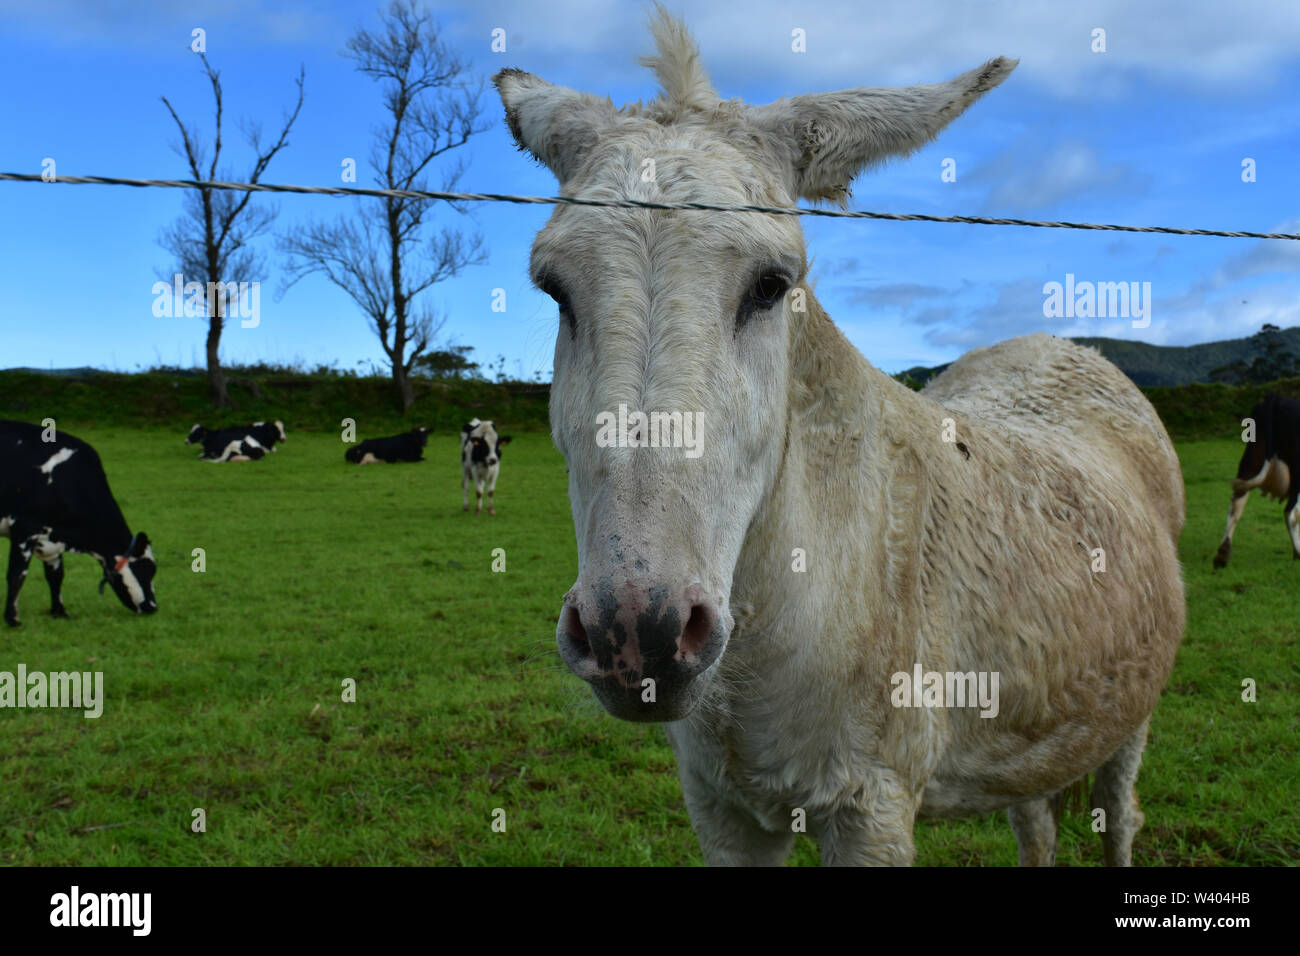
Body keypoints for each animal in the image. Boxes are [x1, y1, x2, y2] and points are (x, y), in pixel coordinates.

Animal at [1, 420, 158, 626]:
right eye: (147, 569)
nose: (153, 607)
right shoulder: (23, 530)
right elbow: (17, 575)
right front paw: (12, 619)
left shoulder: (50, 538)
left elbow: (56, 575)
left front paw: (60, 612)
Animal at [495, 7, 1186, 866]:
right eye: (555, 289)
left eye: (771, 285)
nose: (639, 638)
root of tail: (1061, 345)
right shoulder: (723, 809)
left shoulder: (870, 807)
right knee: (1037, 821)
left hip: (1131, 710)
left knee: (1117, 814)